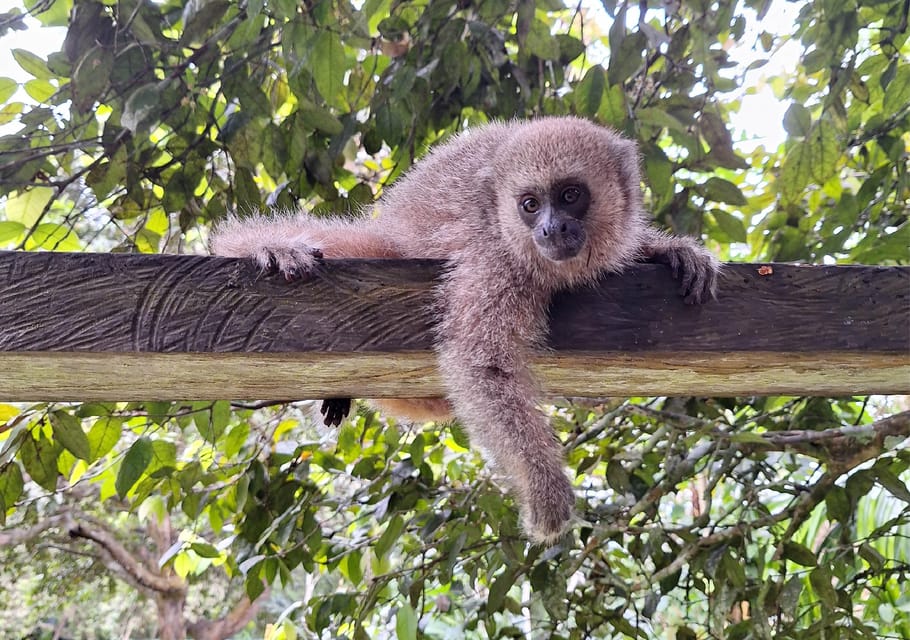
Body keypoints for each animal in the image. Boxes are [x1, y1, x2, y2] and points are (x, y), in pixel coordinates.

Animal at [211, 116, 720, 544]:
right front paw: (545, 488)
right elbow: (482, 363)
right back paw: (273, 248)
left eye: (571, 196)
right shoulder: (497, 260)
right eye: (530, 205)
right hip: (385, 247)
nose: (551, 229)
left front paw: (672, 250)